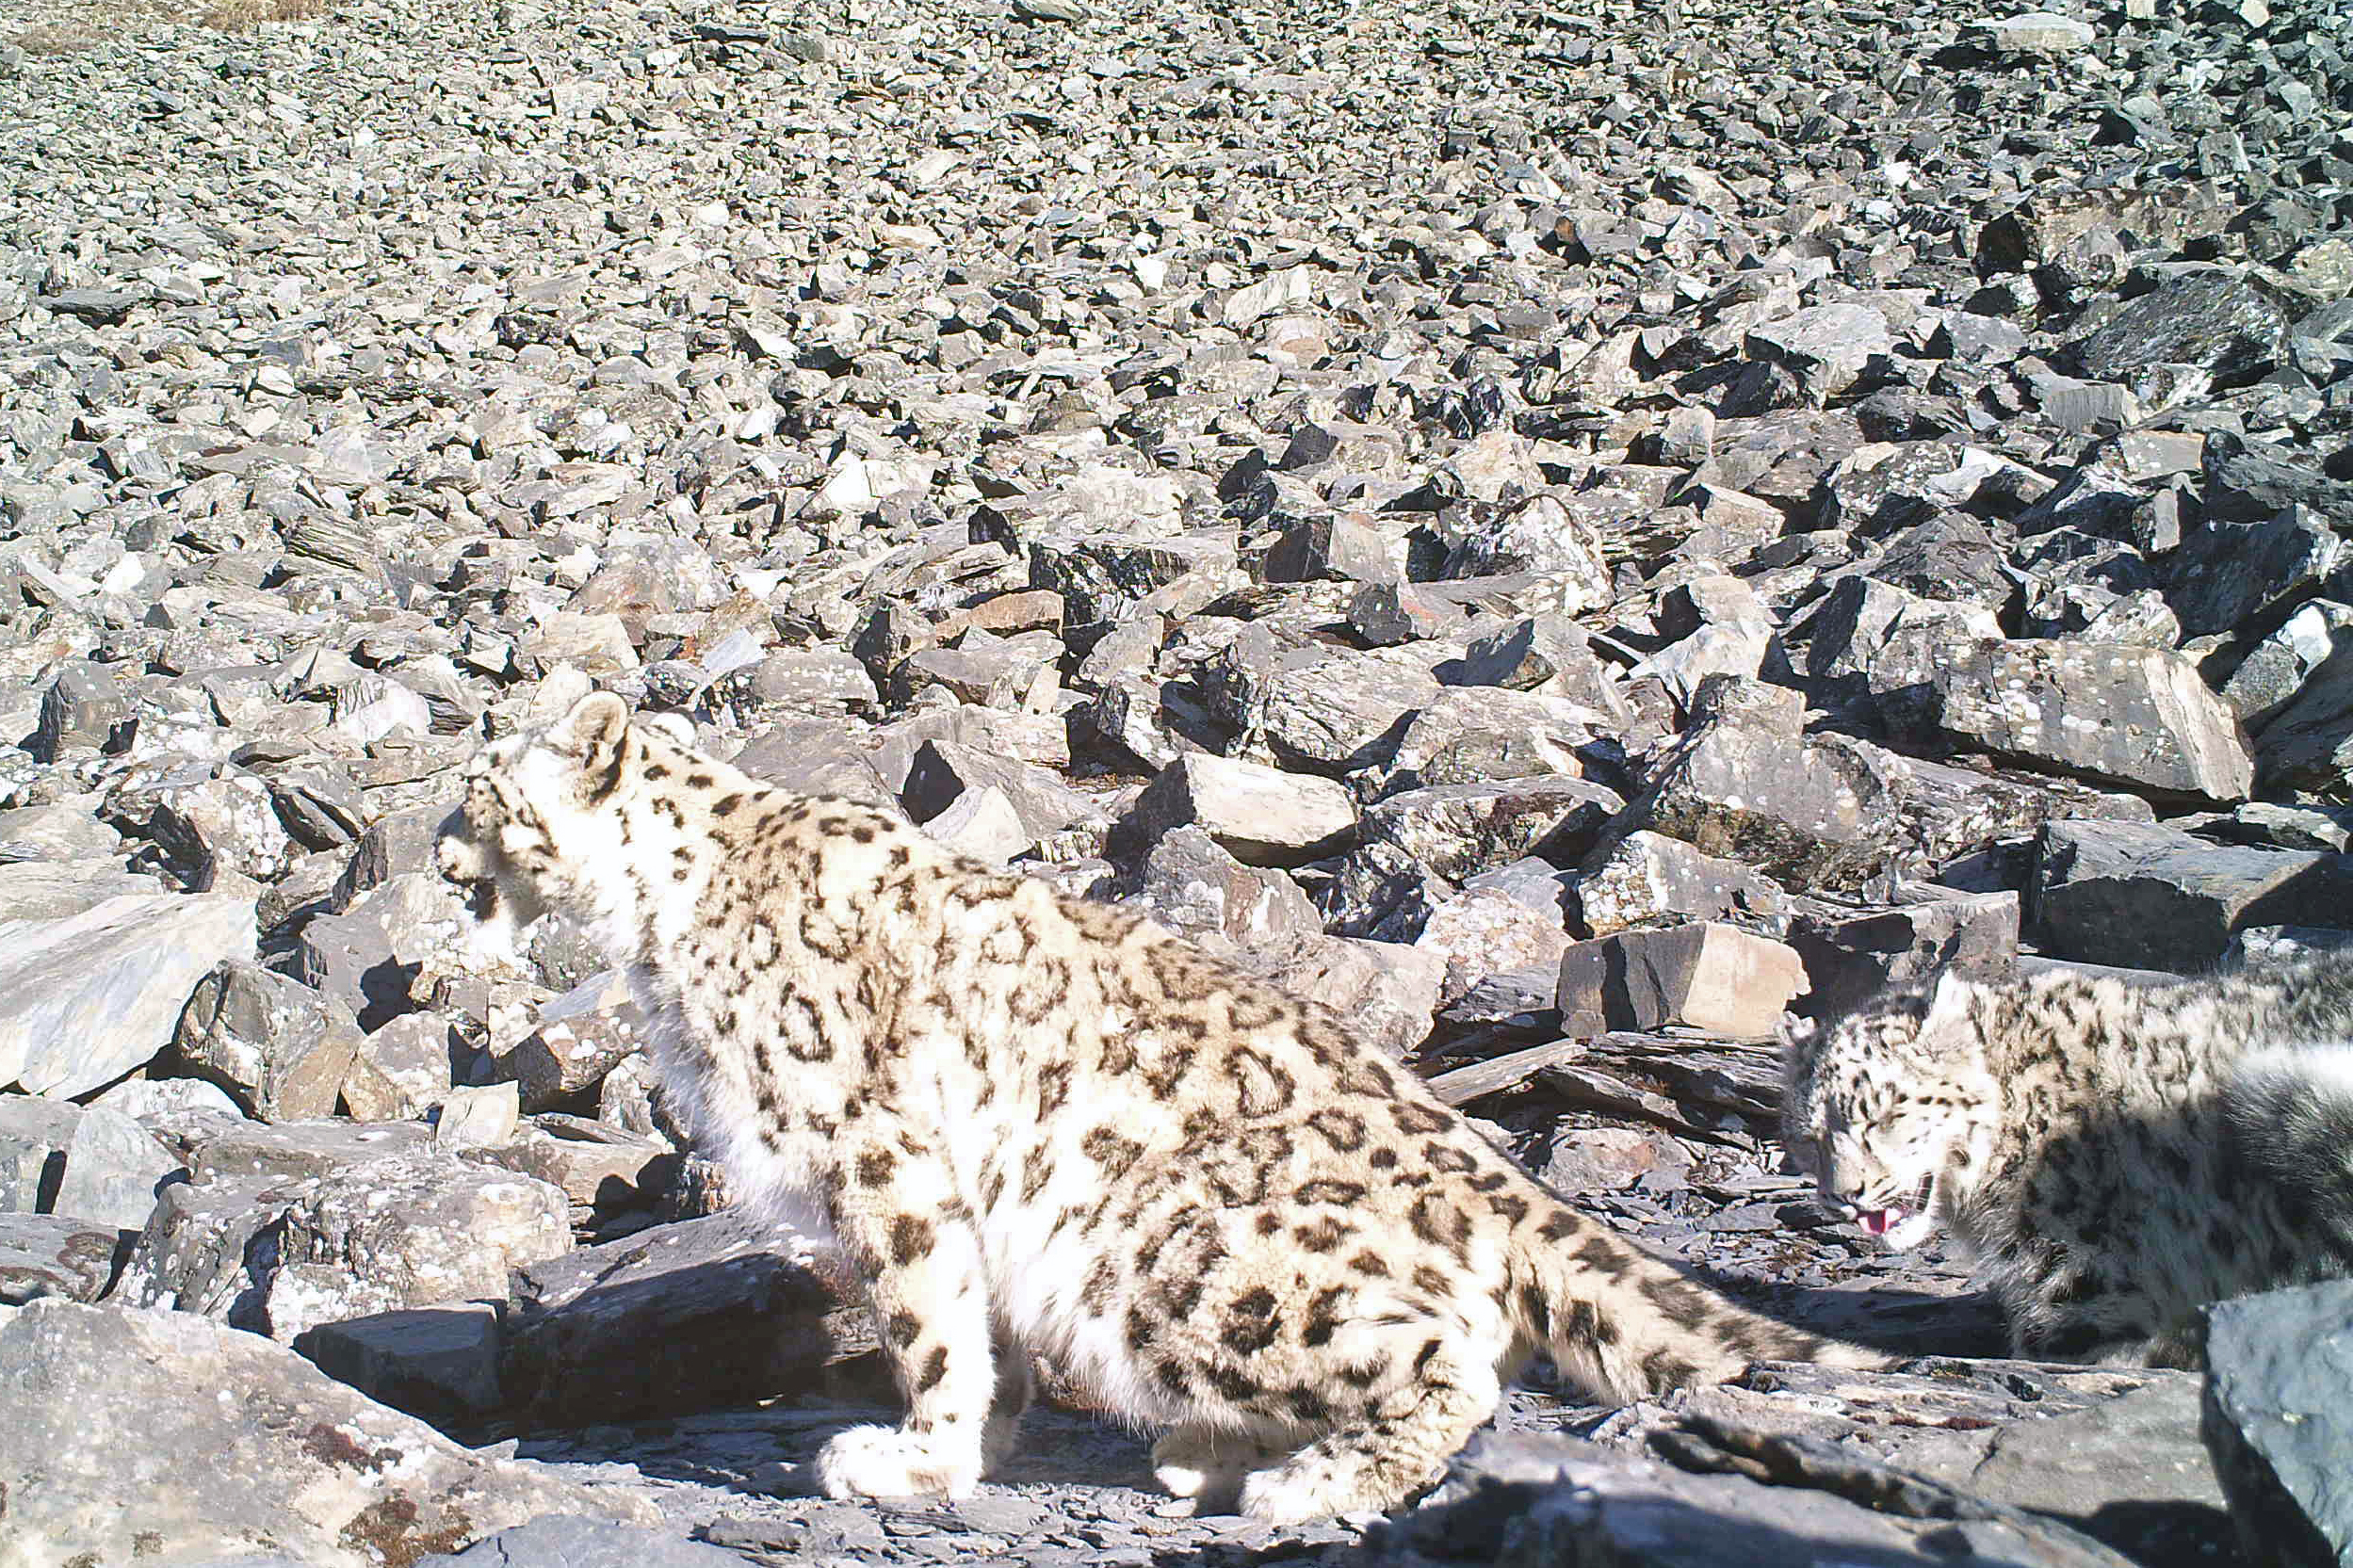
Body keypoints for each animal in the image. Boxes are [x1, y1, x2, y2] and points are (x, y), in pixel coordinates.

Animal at [438, 692, 1885, 1523]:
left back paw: (1297, 1483)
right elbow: (978, 1320)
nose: (441, 853)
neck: (654, 925)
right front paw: (978, 1442)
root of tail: (1482, 1167)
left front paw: (913, 1462)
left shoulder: (878, 1146)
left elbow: (924, 1312)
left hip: (1168, 1252)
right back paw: (1210, 1453)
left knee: (1455, 1359)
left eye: (482, 789)